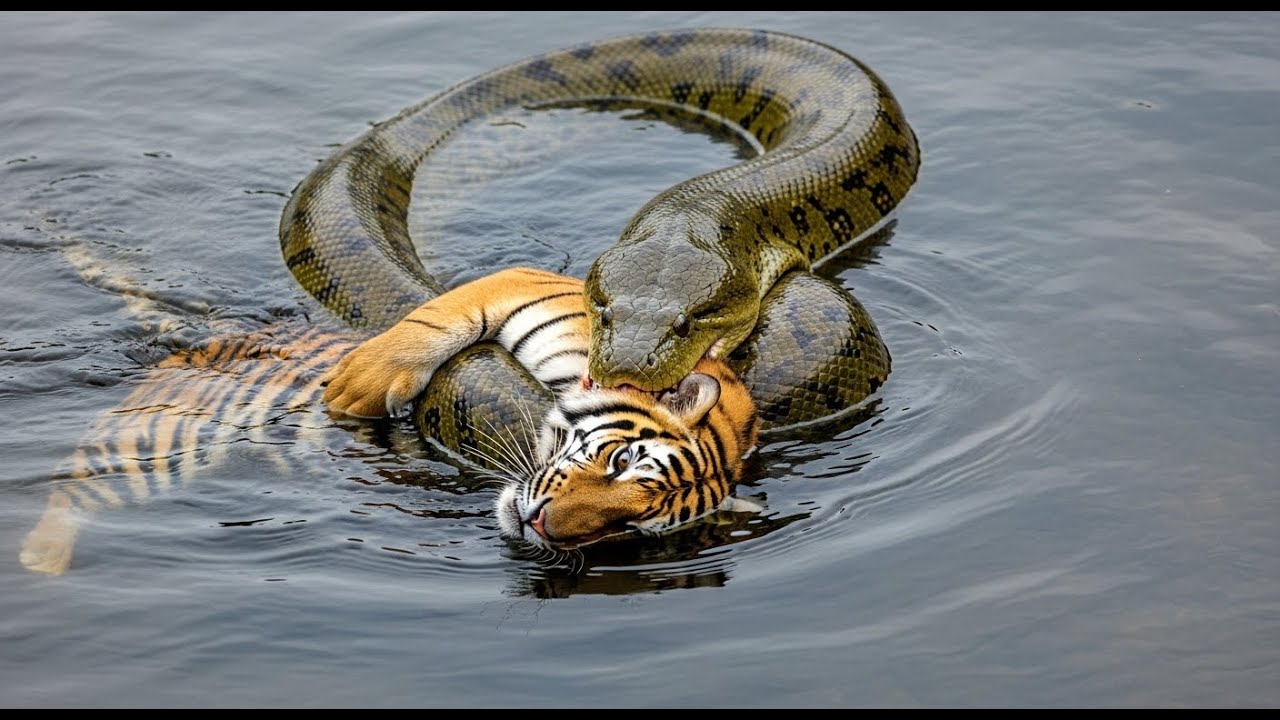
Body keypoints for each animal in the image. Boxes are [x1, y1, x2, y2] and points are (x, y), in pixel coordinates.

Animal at [21, 266, 761, 574]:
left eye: (630, 526)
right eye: (619, 461)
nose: (543, 528)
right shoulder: (531, 285)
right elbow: (441, 316)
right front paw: (357, 385)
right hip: (164, 431)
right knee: (77, 487)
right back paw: (42, 557)